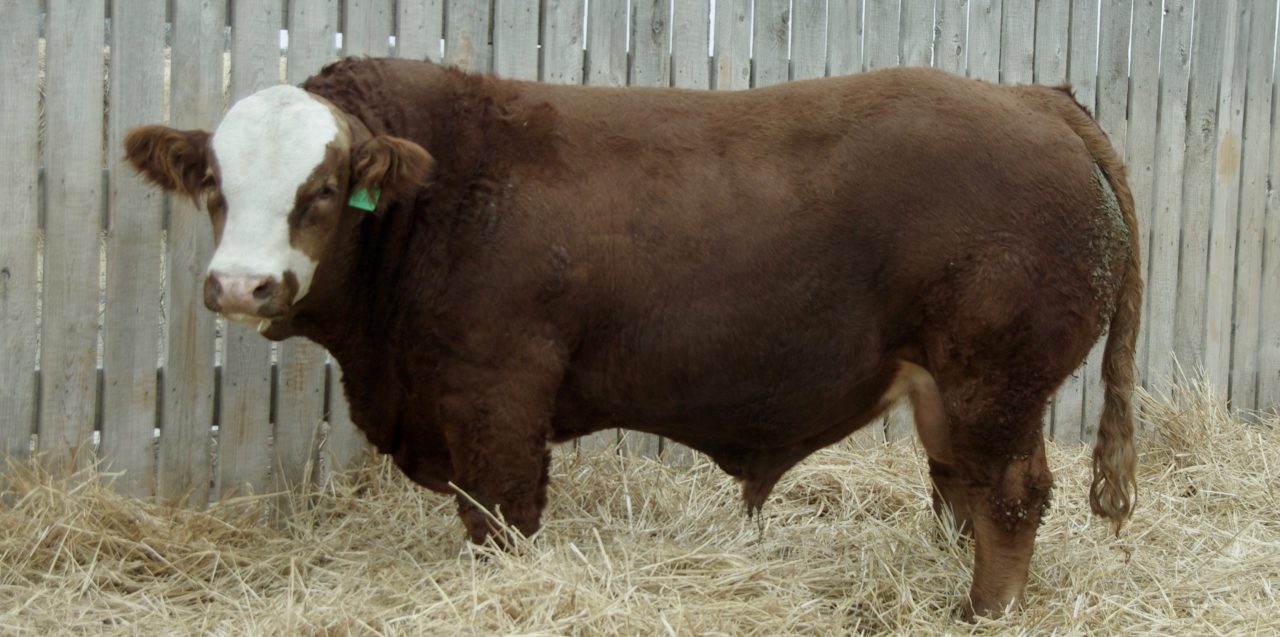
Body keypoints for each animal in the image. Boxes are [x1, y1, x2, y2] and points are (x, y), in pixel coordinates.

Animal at [123, 57, 1141, 619]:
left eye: (326, 188)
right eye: (212, 181)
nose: (239, 285)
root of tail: (1033, 98)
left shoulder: (496, 400)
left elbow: (500, 521)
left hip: (995, 381)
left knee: (1010, 498)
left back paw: (982, 612)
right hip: (947, 388)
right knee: (961, 488)